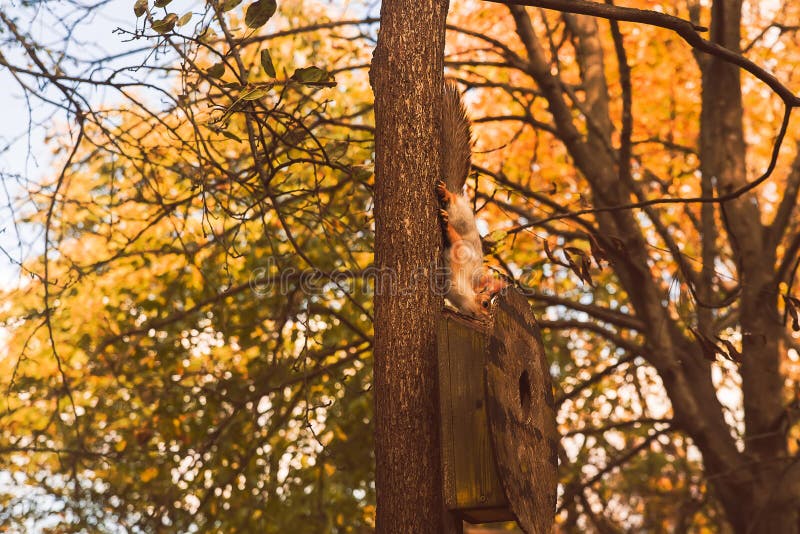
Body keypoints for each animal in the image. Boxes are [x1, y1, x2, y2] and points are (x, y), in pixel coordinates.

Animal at [437, 81, 505, 318]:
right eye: (485, 303)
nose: (486, 319)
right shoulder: (462, 252)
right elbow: (455, 239)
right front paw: (445, 225)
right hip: (458, 211)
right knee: (451, 201)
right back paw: (446, 195)